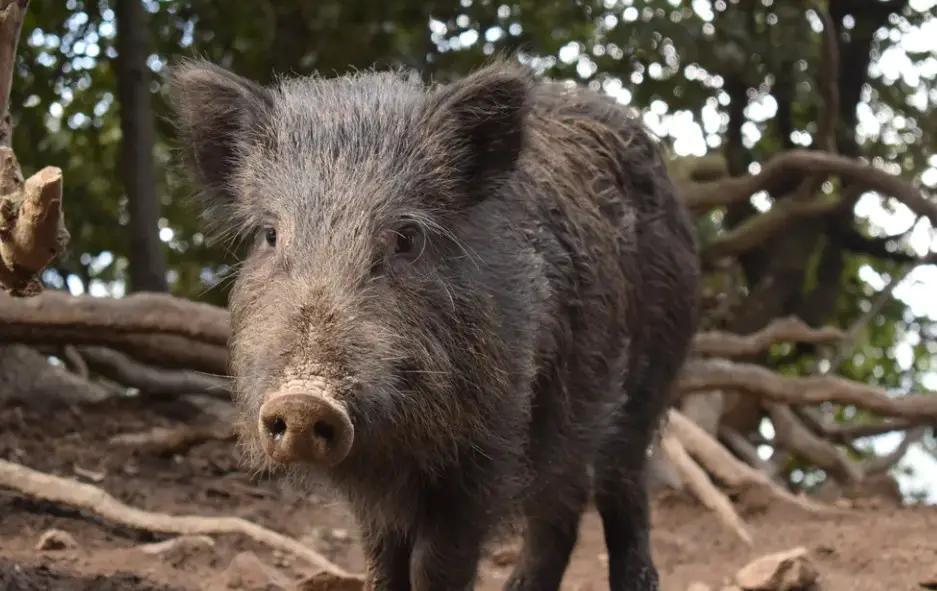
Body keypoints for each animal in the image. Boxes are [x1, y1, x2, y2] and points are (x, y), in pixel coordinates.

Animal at [170, 59, 699, 591]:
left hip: (648, 381)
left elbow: (439, 565)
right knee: (561, 512)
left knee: (621, 495)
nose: (303, 401)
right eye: (270, 234)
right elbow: (382, 561)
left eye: (406, 238)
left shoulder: (487, 449)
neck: (399, 442)